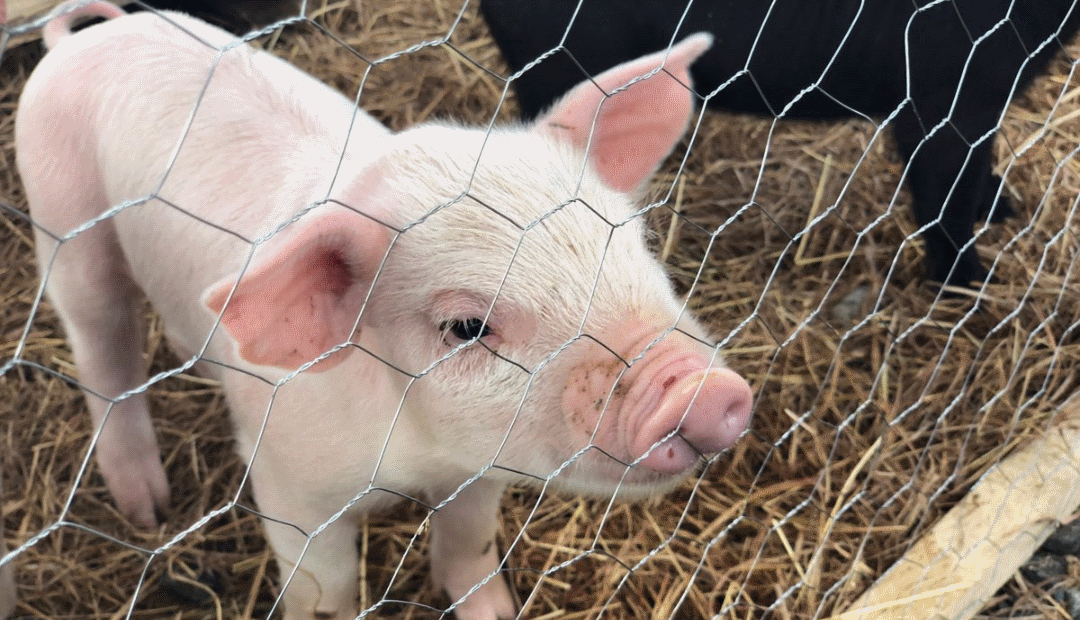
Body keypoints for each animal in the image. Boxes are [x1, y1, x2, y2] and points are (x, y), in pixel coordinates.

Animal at [17, 2, 755, 619]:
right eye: (466, 327)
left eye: (631, 241)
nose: (703, 389)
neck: (417, 457)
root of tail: (82, 38)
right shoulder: (288, 486)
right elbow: (326, 591)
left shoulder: (477, 470)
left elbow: (470, 545)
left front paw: (496, 613)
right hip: (63, 220)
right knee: (102, 348)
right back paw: (147, 510)